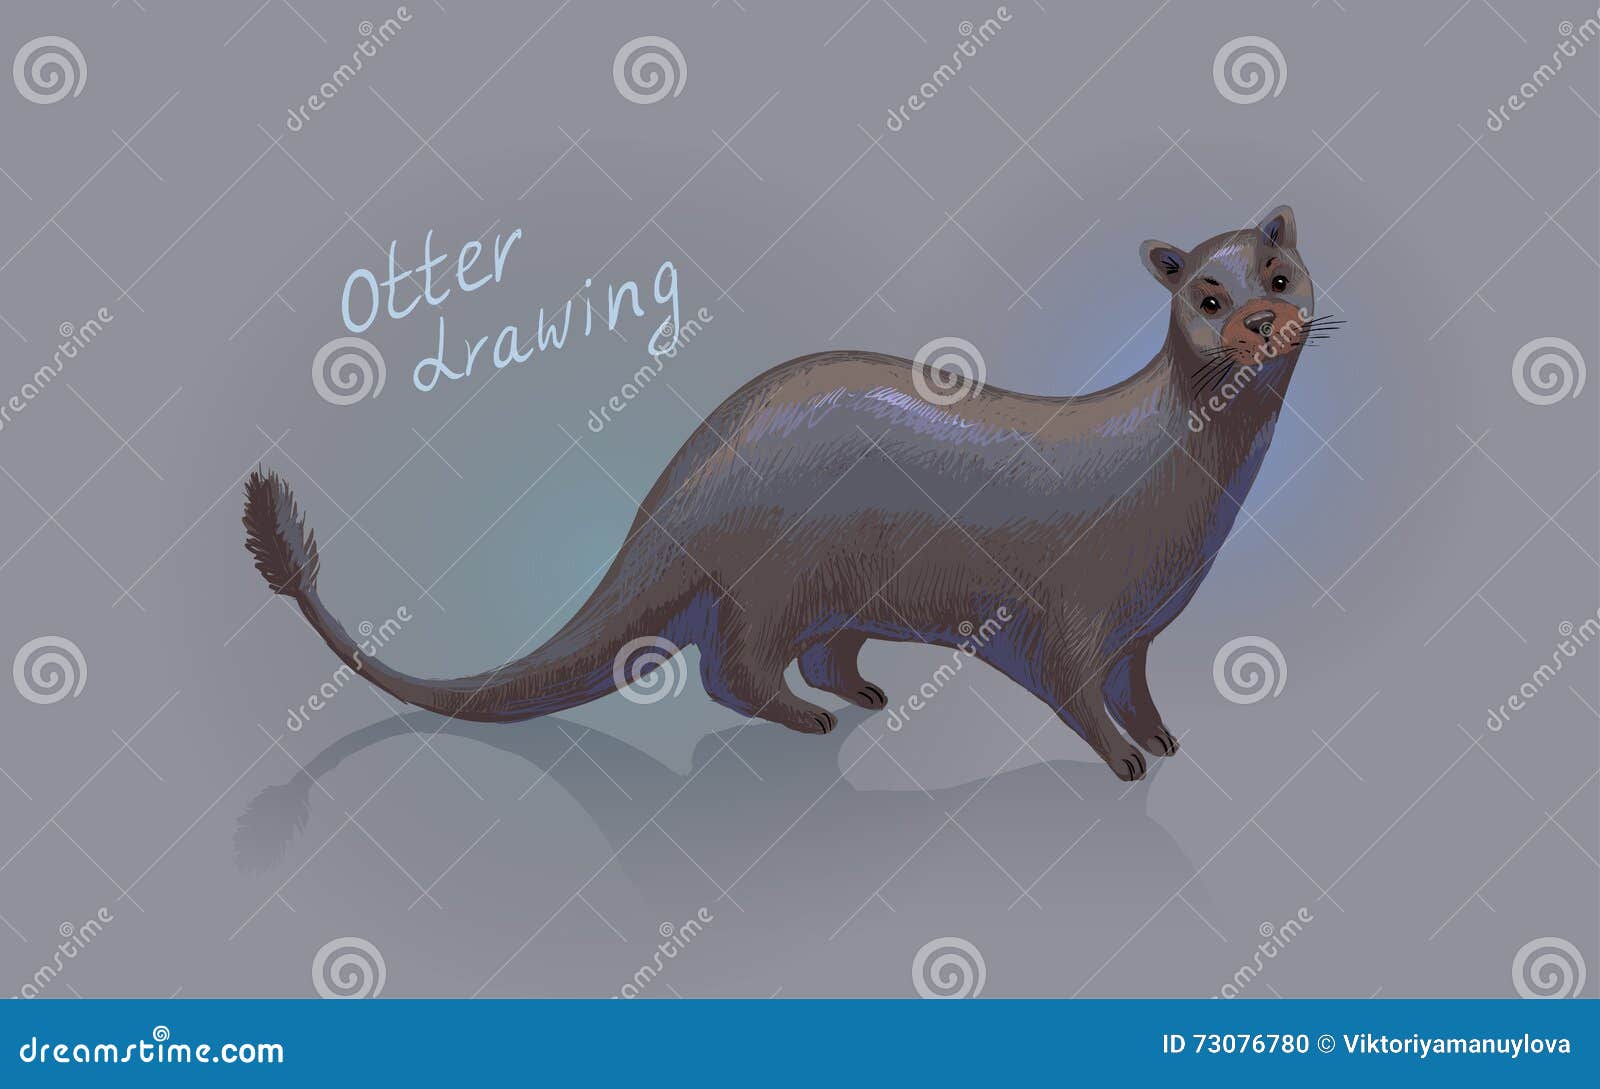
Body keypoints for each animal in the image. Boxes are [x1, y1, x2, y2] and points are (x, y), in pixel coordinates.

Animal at [244, 206, 1337, 781]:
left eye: (1280, 274)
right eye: (1206, 295)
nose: (1255, 320)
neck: (1163, 471)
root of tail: (686, 478)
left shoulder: (1141, 624)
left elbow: (1135, 682)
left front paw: (1161, 735)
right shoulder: (1069, 609)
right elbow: (1076, 690)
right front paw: (1125, 760)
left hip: (841, 588)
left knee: (820, 650)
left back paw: (860, 695)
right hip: (772, 578)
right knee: (733, 668)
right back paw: (805, 721)